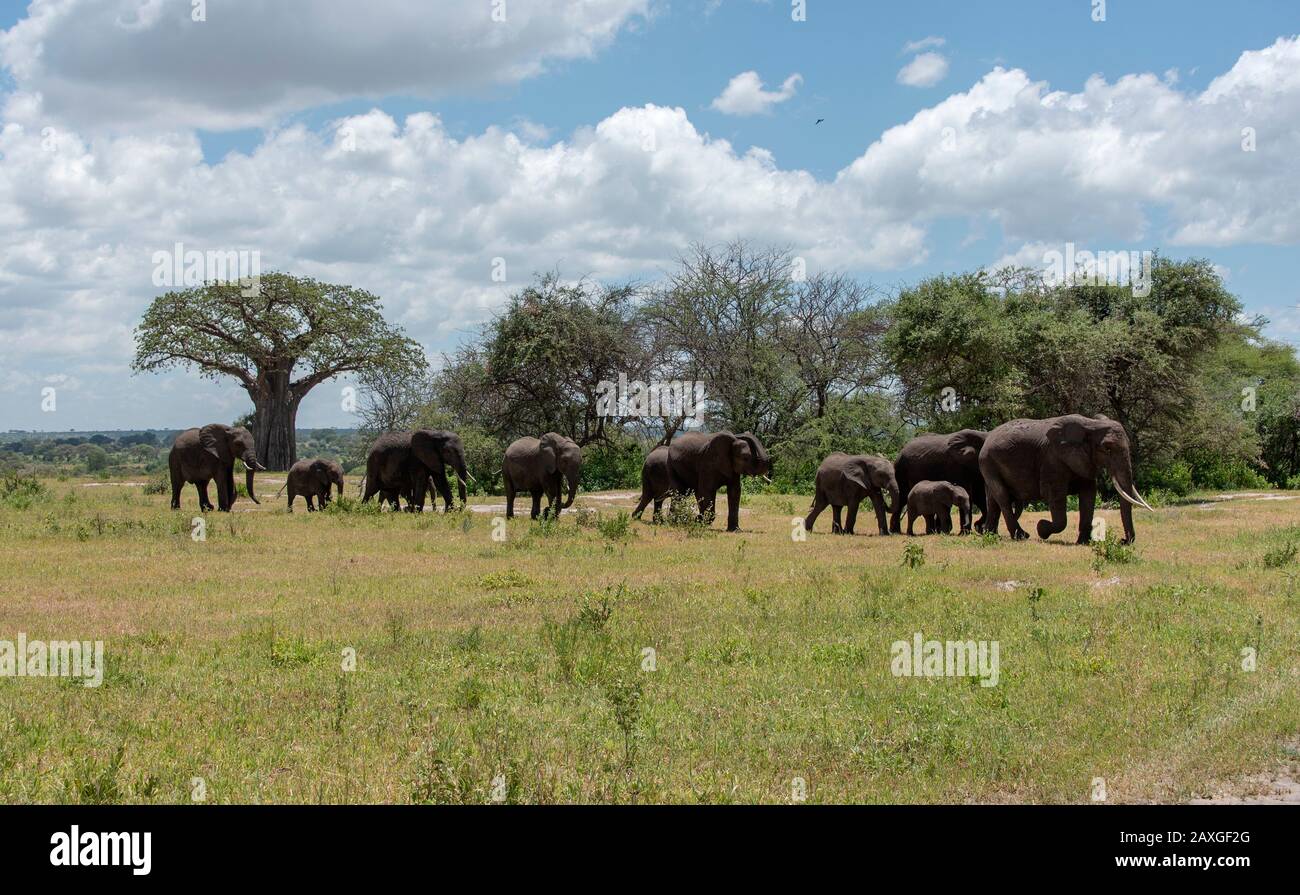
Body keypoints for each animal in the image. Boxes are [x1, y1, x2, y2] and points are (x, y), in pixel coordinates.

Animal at [632, 431, 771, 531]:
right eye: (745, 458)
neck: (731, 442)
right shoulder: (708, 464)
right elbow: (707, 491)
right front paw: (697, 521)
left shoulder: (731, 468)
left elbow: (735, 492)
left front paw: (735, 531)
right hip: (668, 466)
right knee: (670, 493)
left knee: (661, 498)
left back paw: (660, 522)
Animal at [979, 414, 1153, 544]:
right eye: (1107, 449)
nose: (1123, 541)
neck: (1091, 425)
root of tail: (988, 437)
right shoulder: (1053, 459)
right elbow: (1055, 497)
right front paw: (1041, 528)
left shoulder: (1084, 460)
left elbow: (1088, 495)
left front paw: (1083, 543)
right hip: (988, 462)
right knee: (1003, 498)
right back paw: (1022, 536)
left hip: (989, 464)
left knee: (993, 499)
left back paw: (990, 534)